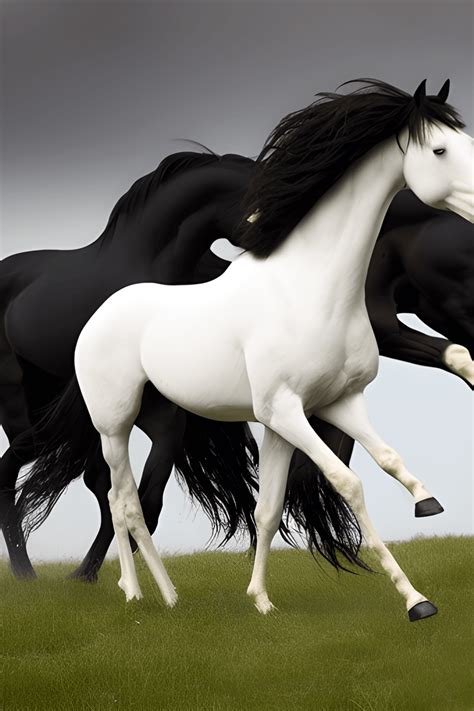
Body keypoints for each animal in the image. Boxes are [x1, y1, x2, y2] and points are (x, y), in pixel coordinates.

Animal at [17, 78, 473, 621]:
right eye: (439, 149)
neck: (309, 288)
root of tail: (97, 316)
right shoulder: (286, 411)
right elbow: (348, 483)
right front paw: (417, 602)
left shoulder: (330, 405)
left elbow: (306, 492)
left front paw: (261, 599)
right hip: (114, 422)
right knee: (122, 498)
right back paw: (143, 596)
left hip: (159, 415)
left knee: (122, 498)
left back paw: (160, 594)